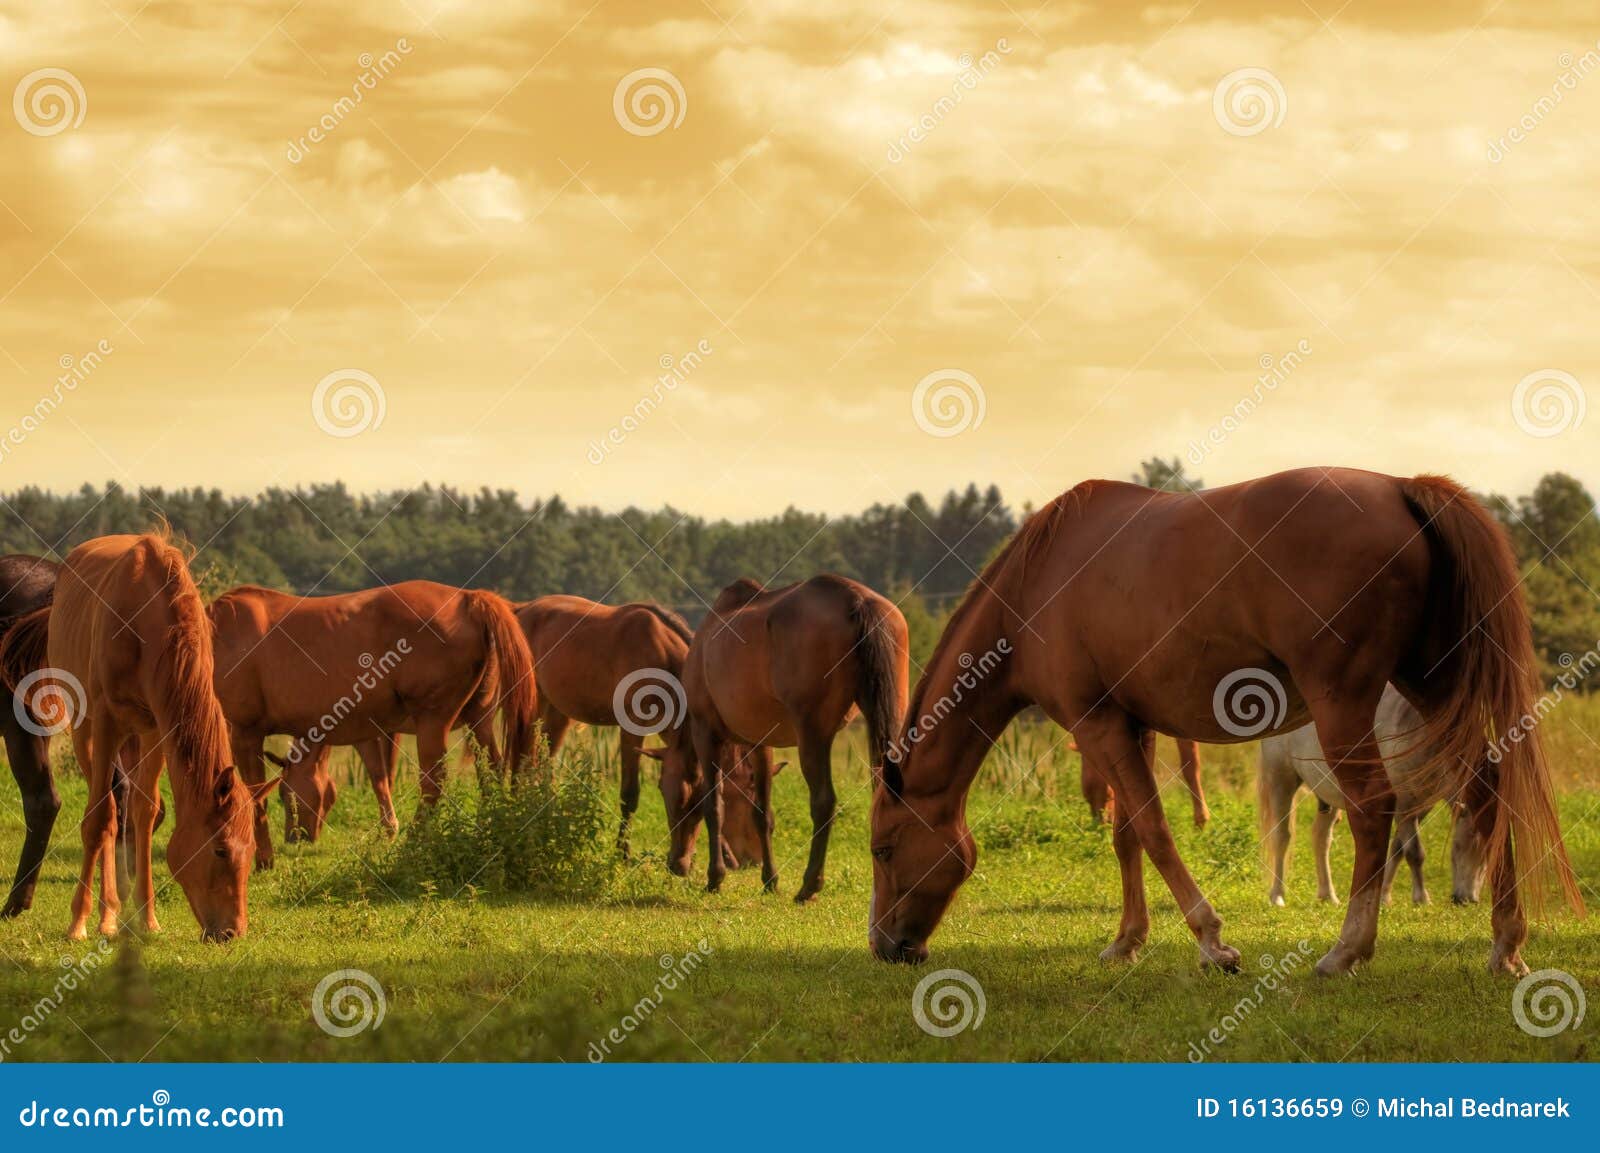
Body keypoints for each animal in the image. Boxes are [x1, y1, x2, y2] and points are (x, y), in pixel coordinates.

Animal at [0, 534, 275, 941]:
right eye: (220, 850)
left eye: (252, 847)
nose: (231, 932)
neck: (146, 624)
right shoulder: (106, 723)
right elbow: (98, 820)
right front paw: (78, 922)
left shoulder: (156, 729)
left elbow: (145, 814)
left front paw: (147, 918)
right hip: (85, 729)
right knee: (107, 813)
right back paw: (99, 915)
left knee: (123, 806)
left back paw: (111, 915)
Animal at [208, 581, 535, 867]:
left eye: (284, 794)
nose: (294, 838)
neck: (220, 633)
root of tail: (469, 599)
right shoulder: (365, 733)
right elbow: (379, 777)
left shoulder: (245, 733)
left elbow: (254, 796)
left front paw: (263, 858)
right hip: (479, 721)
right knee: (491, 773)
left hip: (434, 722)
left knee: (434, 782)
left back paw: (414, 843)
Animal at [682, 574, 909, 900]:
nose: (677, 864)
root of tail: (856, 600)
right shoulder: (760, 744)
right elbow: (761, 812)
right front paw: (769, 879)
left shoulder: (704, 732)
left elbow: (714, 806)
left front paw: (715, 877)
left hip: (813, 734)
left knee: (823, 801)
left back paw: (809, 885)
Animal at [1259, 684, 1486, 907]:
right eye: (1460, 845)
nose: (1467, 900)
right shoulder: (1404, 806)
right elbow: (1414, 852)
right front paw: (1421, 898)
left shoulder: (1421, 806)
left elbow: (1397, 849)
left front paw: (1384, 896)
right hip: (1281, 778)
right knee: (1282, 836)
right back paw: (1277, 896)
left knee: (1321, 838)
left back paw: (1328, 895)